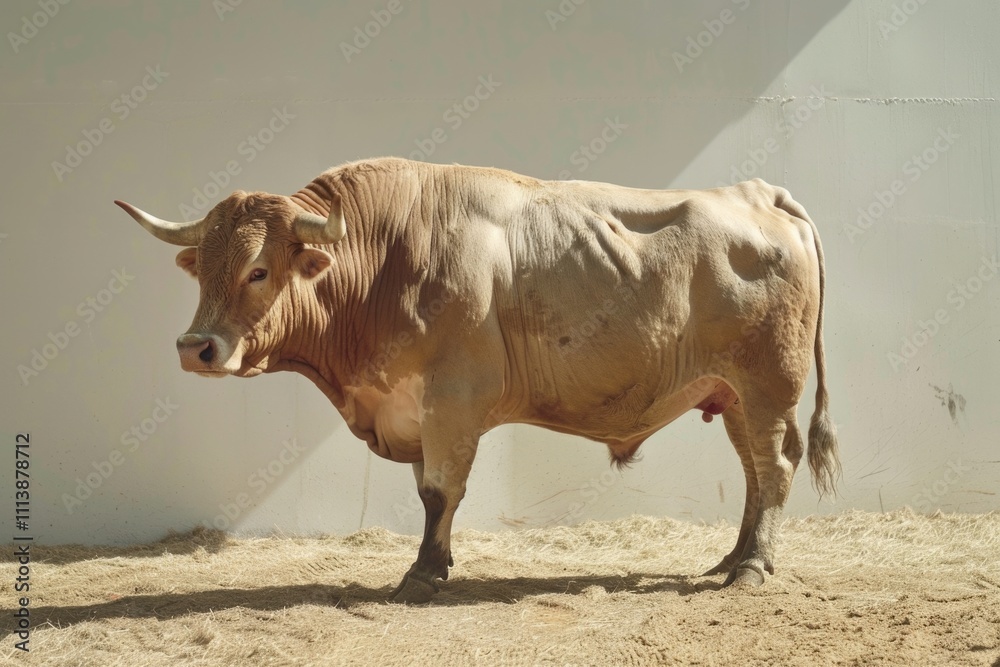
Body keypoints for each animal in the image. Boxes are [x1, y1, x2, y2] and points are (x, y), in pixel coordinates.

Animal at [116, 157, 840, 603]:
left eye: (260, 270)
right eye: (203, 268)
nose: (196, 347)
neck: (386, 262)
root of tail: (757, 193)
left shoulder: (452, 400)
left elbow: (442, 491)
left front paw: (421, 575)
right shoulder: (412, 408)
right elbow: (426, 491)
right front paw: (434, 564)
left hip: (770, 384)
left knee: (774, 467)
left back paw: (751, 568)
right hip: (734, 394)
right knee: (753, 473)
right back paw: (734, 557)